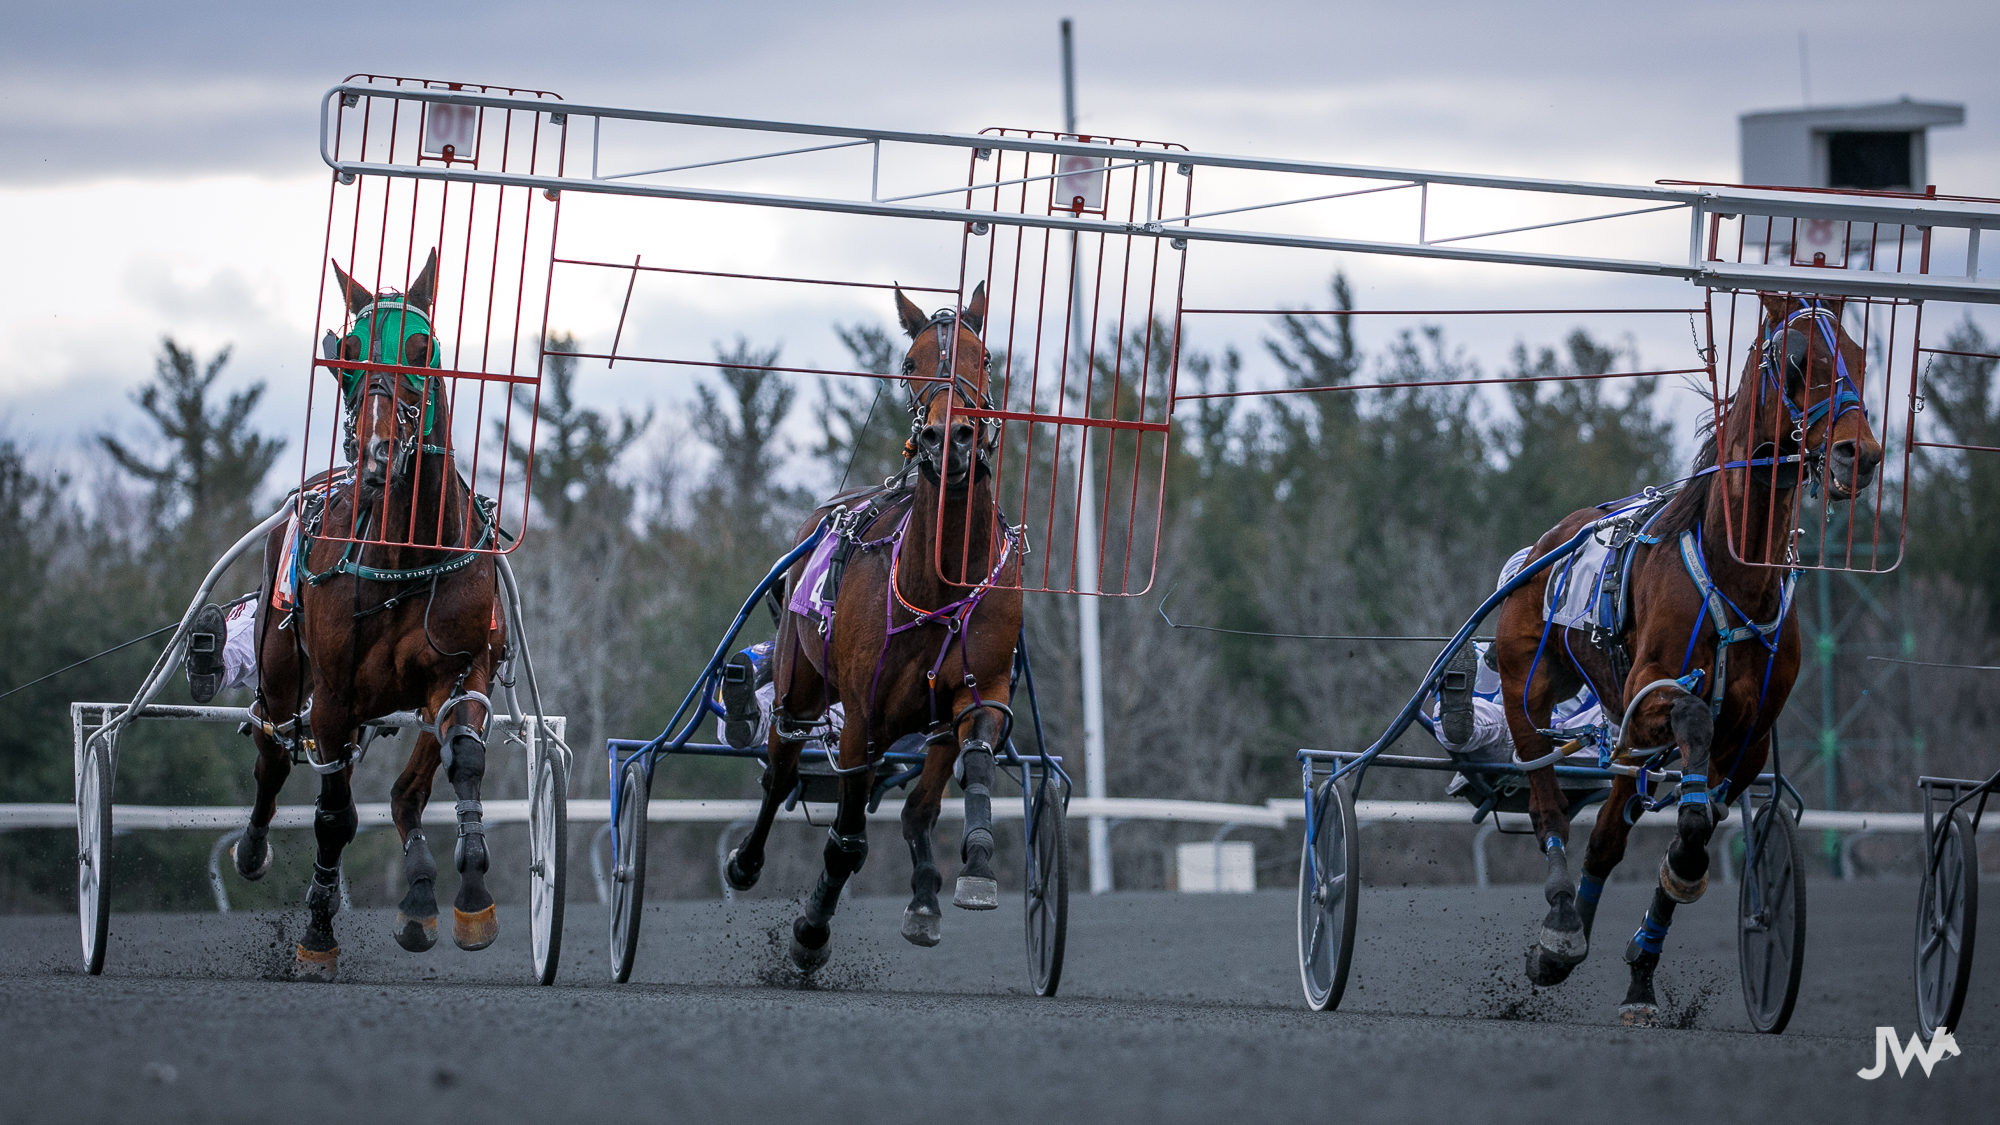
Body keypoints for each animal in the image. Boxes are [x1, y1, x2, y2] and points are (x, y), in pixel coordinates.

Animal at [233, 249, 507, 980]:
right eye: (349, 351)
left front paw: (471, 898)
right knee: (272, 757)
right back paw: (253, 850)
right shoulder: (332, 697)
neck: (405, 554)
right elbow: (331, 817)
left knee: (406, 789)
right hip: (281, 674)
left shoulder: (462, 669)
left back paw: (418, 898)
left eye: (420, 347)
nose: (379, 452)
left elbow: (463, 760)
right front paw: (317, 935)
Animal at [719, 283, 1026, 971]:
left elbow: (963, 768)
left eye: (985, 358)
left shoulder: (977, 688)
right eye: (910, 363)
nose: (949, 438)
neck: (940, 581)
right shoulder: (861, 712)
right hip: (800, 685)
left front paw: (970, 871)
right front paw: (810, 931)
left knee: (912, 804)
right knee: (781, 771)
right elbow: (847, 841)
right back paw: (746, 862)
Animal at [1495, 292, 1884, 1023]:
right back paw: (1560, 924)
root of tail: (1548, 543)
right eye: (1797, 359)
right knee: (1545, 797)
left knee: (1608, 834)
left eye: (1862, 355)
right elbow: (1692, 725)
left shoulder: (1750, 737)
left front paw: (1643, 972)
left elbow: (1693, 836)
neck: (1736, 575)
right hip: (1523, 680)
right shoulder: (1652, 692)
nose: (1861, 454)